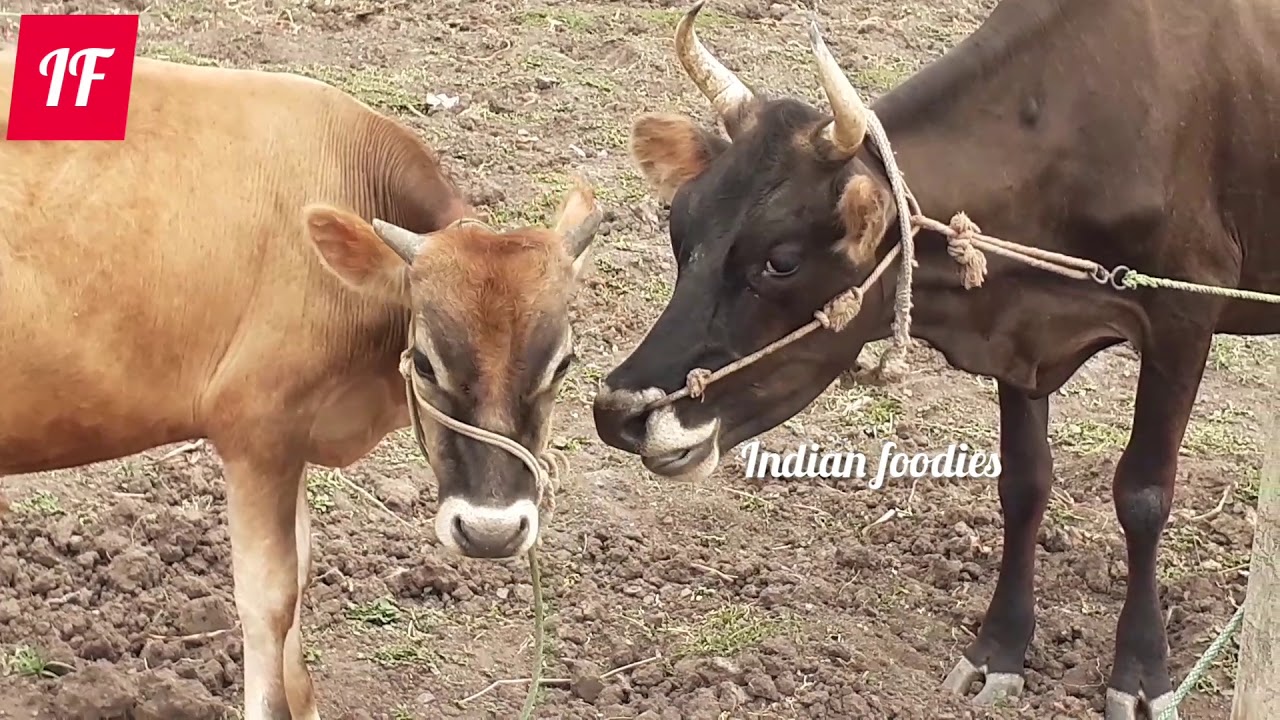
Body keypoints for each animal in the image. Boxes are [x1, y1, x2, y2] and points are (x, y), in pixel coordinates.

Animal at [1, 51, 603, 720]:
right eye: (424, 362)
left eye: (564, 363)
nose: (492, 532)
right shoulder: (257, 433)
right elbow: (269, 598)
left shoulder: (295, 439)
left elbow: (301, 572)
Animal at [591, 1, 1280, 718]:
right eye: (680, 227)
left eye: (780, 261)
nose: (619, 412)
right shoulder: (1021, 340)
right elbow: (1023, 483)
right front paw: (998, 652)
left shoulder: (1183, 317)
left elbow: (1142, 495)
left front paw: (1141, 676)